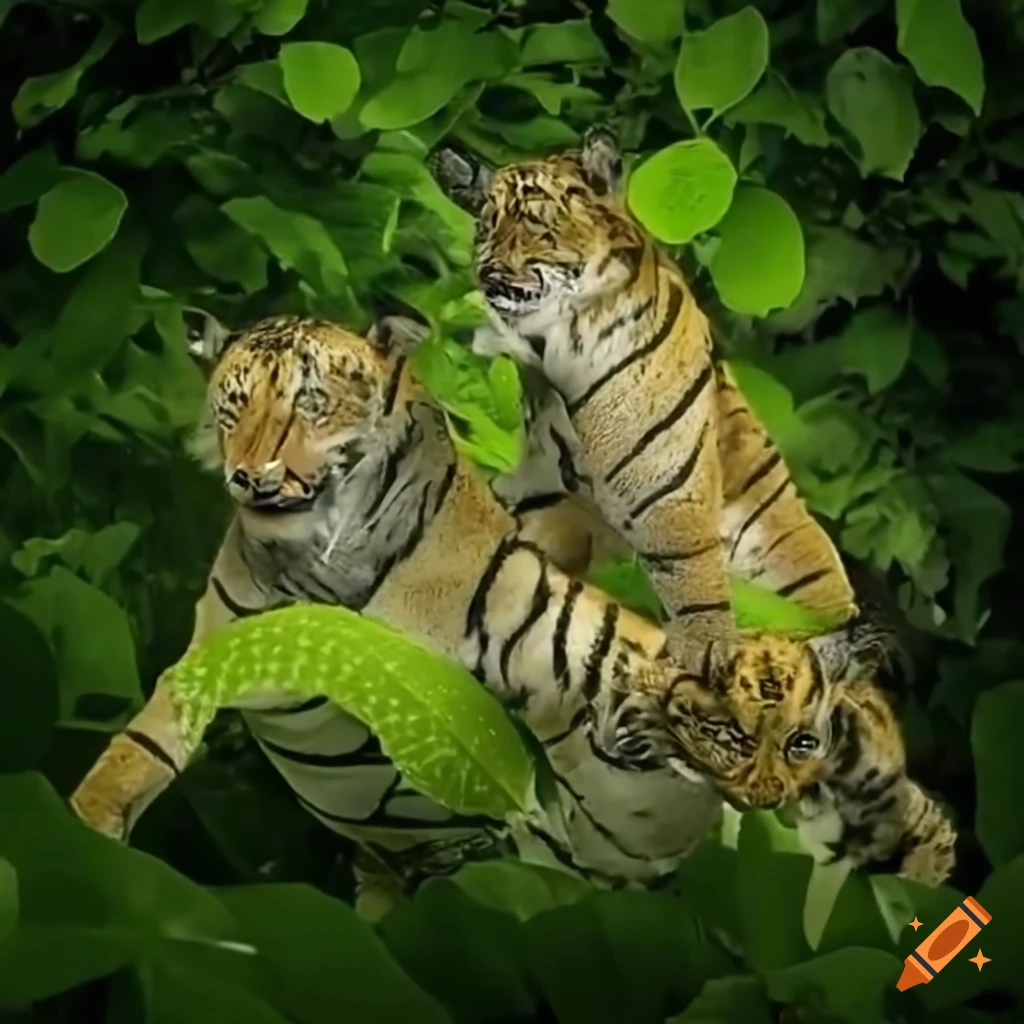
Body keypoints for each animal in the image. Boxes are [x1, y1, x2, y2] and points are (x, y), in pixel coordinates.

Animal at [70, 314, 955, 887]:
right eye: (233, 407)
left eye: (309, 403)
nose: (251, 477)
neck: (329, 555)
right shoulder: (219, 650)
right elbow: (138, 751)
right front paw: (85, 835)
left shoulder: (526, 614)